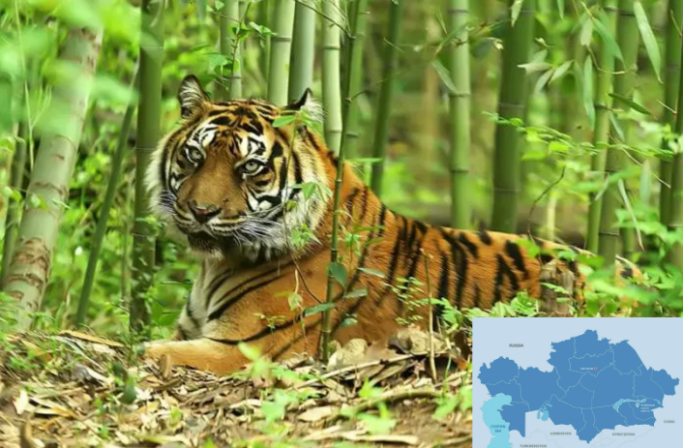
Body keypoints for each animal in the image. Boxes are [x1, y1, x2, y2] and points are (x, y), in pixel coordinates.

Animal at [143, 75, 637, 374]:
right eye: (195, 156)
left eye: (249, 167)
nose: (201, 211)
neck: (216, 265)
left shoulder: (242, 348)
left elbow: (147, 352)